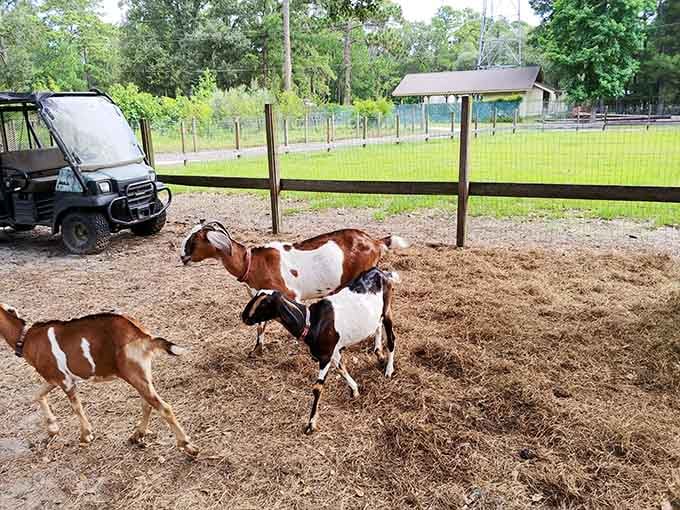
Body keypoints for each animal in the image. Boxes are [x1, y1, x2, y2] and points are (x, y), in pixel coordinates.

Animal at [0, 304, 198, 456]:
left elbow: (76, 406)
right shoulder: (53, 378)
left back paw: (188, 447)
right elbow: (37, 395)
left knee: (163, 407)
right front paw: (52, 428)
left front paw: (86, 435)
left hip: (133, 373)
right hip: (142, 372)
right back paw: (137, 435)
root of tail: (142, 335)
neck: (26, 339)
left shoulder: (65, 380)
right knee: (148, 404)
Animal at [181, 221, 408, 354]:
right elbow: (260, 325)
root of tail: (375, 242)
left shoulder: (290, 295)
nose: (182, 257)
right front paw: (257, 349)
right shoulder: (260, 298)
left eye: (194, 239)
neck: (252, 263)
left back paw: (377, 348)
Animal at [241, 268, 399, 434]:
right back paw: (379, 354)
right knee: (377, 326)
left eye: (264, 303)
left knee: (391, 339)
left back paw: (389, 370)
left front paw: (311, 424)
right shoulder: (333, 352)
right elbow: (341, 368)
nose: (244, 317)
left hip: (387, 309)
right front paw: (355, 390)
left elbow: (317, 387)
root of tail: (382, 272)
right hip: (377, 315)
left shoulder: (325, 356)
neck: (311, 322)